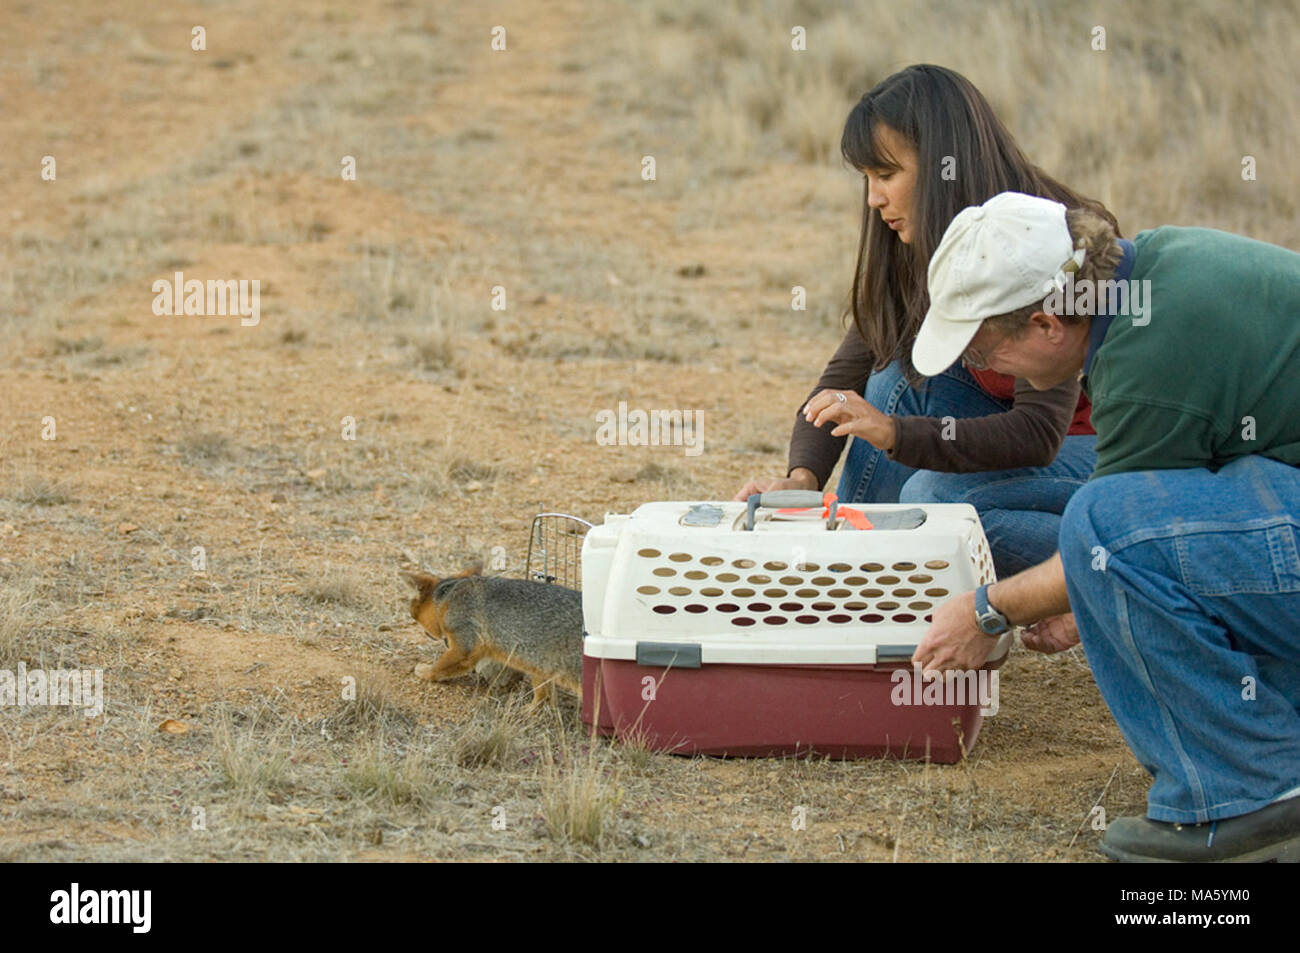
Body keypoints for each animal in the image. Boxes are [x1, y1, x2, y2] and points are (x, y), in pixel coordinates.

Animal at [402, 569, 584, 707]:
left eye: (412, 615)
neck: (448, 596)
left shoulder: (464, 649)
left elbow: (439, 667)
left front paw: (424, 671)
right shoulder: (538, 665)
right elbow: (544, 697)